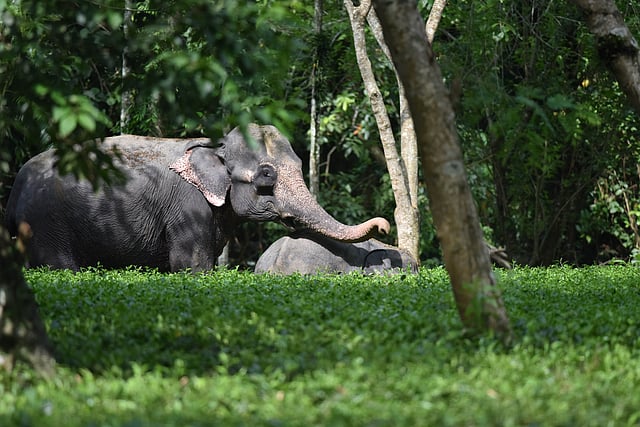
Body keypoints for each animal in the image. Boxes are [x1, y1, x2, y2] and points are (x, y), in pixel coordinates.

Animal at [4, 124, 390, 272]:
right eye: (266, 178)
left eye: (297, 164)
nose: (384, 226)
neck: (214, 147)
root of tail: (15, 188)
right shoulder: (188, 208)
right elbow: (192, 265)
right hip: (44, 223)